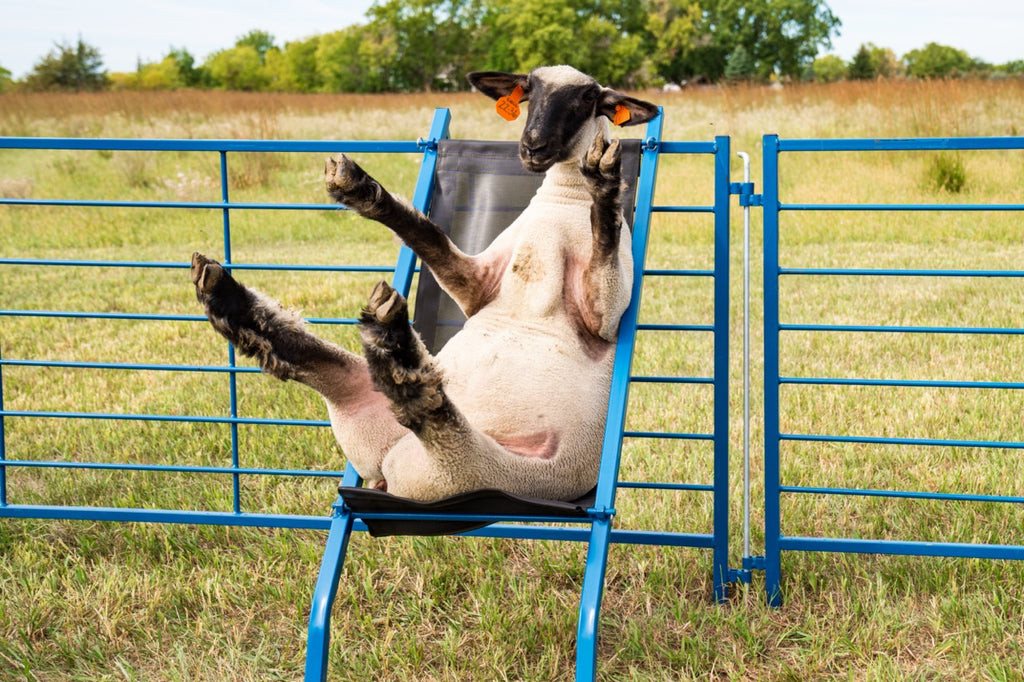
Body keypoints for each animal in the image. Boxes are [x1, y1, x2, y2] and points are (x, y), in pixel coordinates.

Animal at [190, 65, 659, 502]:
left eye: (587, 98)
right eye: (528, 89)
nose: (532, 147)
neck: (562, 207)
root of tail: (385, 471)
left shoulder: (605, 316)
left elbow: (605, 241)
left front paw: (605, 179)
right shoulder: (478, 284)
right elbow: (428, 237)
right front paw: (357, 189)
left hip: (478, 472)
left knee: (438, 422)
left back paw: (398, 354)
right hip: (366, 409)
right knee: (303, 359)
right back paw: (224, 296)